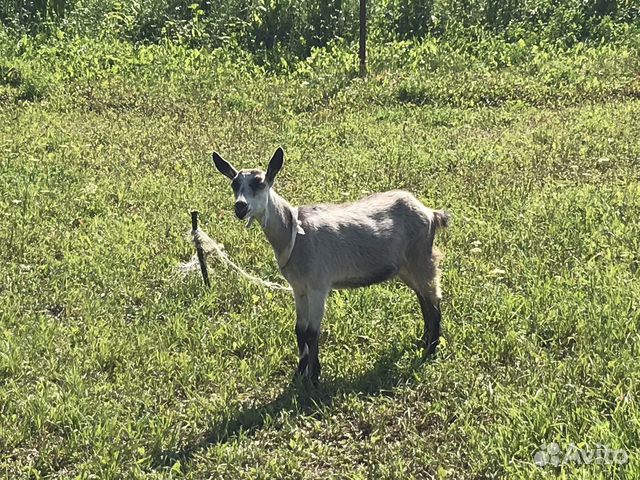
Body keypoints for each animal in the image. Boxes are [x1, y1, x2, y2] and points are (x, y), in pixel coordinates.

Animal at [213, 147, 450, 383]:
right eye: (234, 184)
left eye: (260, 183)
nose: (240, 207)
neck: (294, 233)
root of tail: (430, 213)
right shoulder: (298, 288)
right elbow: (300, 330)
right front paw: (300, 372)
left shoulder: (319, 285)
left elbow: (312, 332)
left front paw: (314, 376)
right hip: (406, 267)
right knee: (423, 299)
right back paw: (423, 341)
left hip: (422, 257)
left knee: (434, 301)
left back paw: (430, 349)